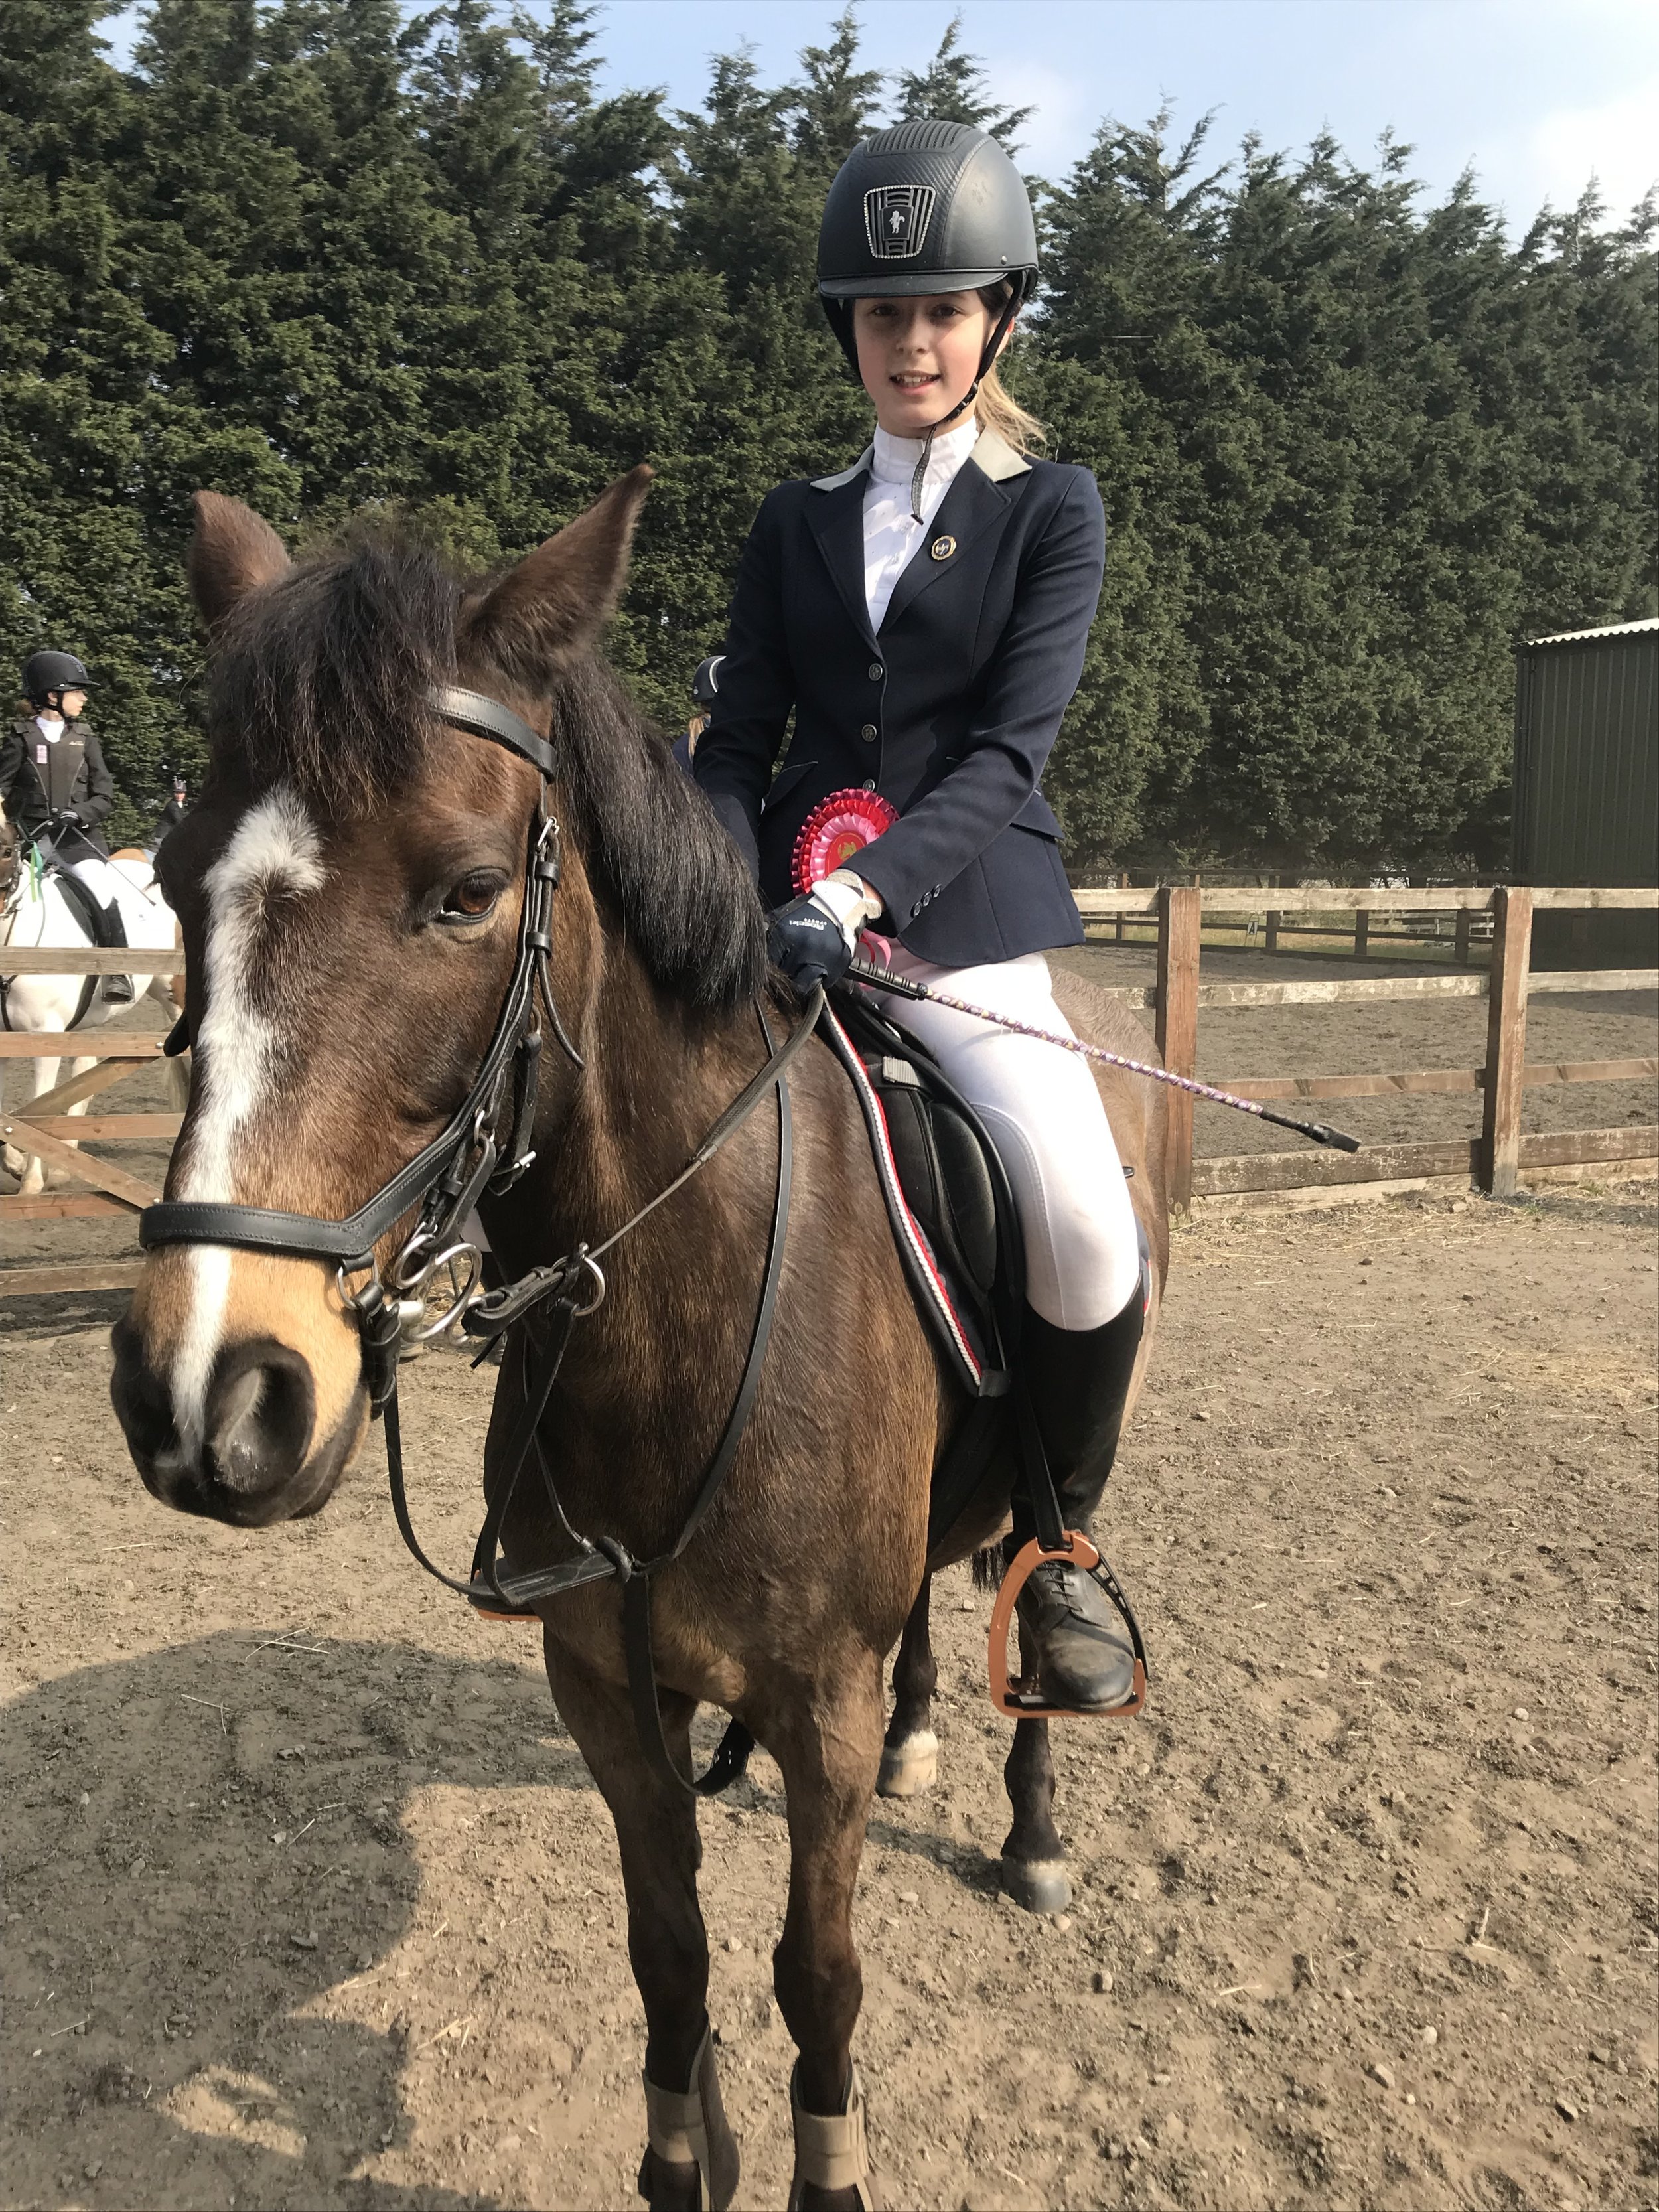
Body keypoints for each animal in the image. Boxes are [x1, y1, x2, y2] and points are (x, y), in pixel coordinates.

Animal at [0, 829, 182, 1195]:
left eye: (4, 850)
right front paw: (16, 1163)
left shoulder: (46, 1037)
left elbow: (39, 1103)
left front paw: (30, 1183)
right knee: (85, 1067)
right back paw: (63, 1164)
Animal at [109, 478, 1168, 2210]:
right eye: (187, 883)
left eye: (468, 891)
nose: (207, 1392)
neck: (683, 1323)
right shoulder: (605, 1684)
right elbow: (667, 1951)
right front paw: (689, 2155)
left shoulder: (813, 1706)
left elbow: (818, 1975)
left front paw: (823, 2168)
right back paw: (928, 1737)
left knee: (1037, 1554)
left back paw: (1032, 1821)